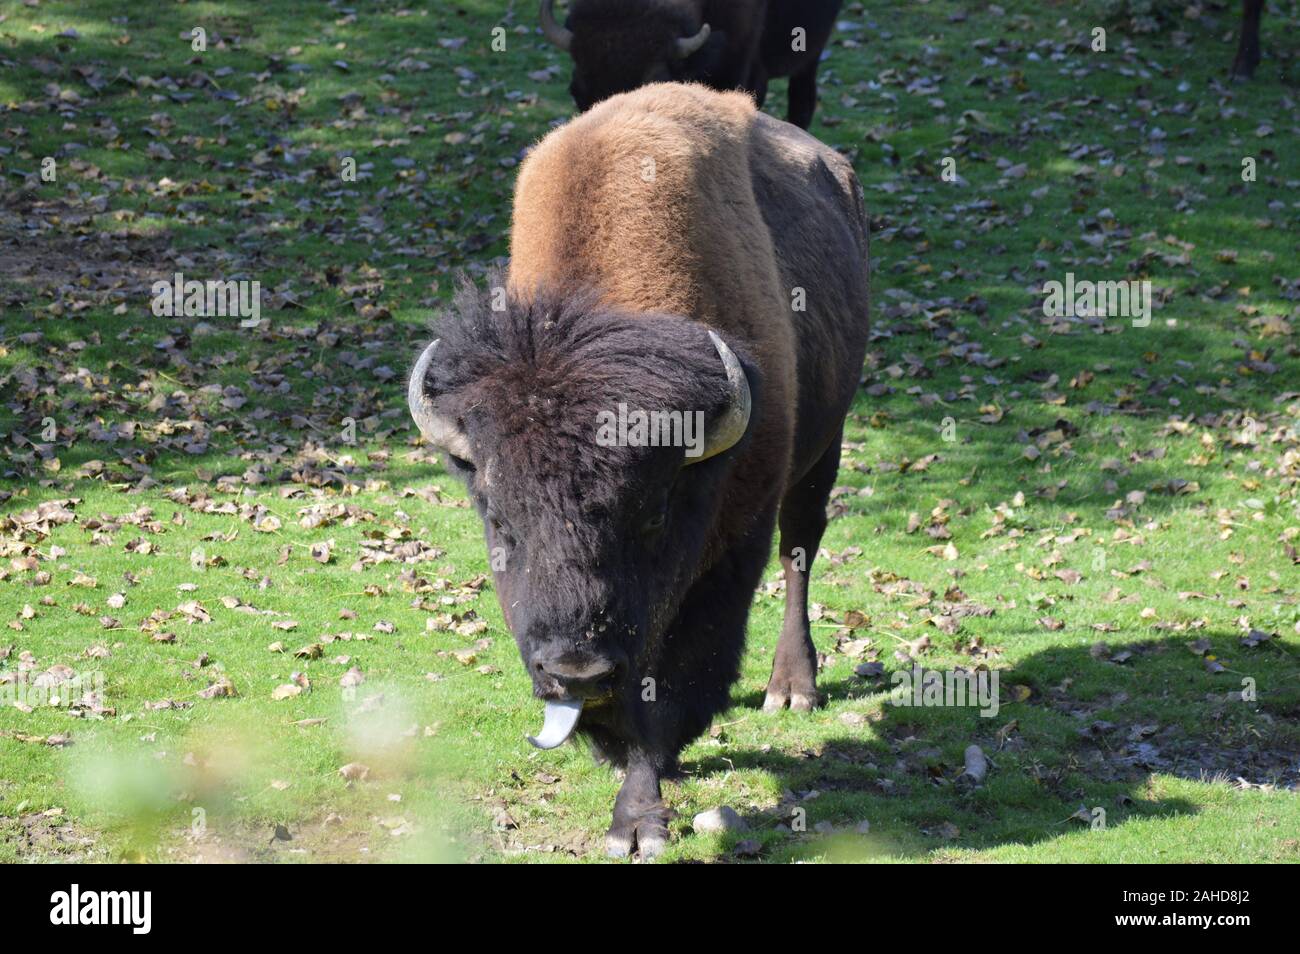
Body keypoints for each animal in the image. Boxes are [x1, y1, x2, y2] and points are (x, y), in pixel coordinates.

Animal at [409, 83, 869, 858]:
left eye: (653, 513)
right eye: (500, 518)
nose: (577, 670)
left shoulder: (726, 552)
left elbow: (676, 680)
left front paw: (637, 824)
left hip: (824, 447)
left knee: (800, 549)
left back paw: (792, 688)